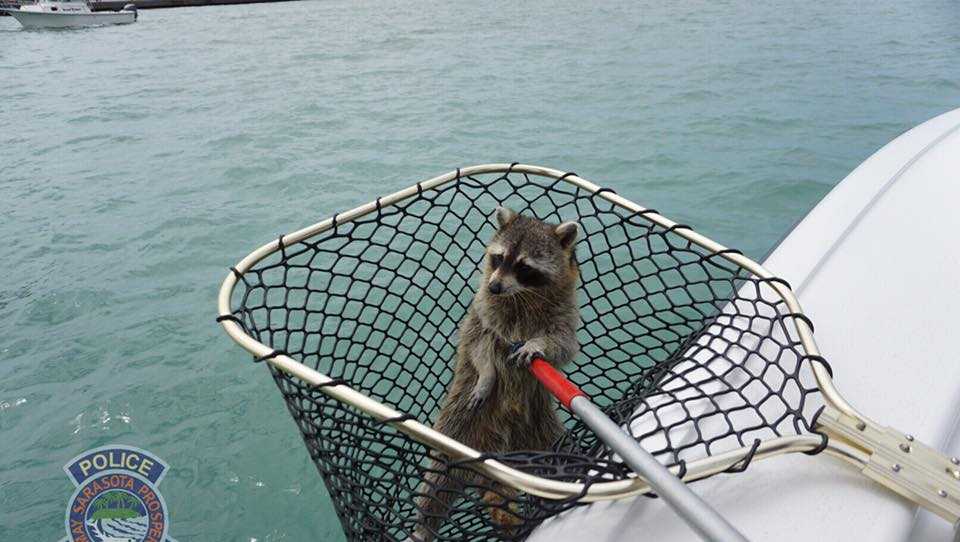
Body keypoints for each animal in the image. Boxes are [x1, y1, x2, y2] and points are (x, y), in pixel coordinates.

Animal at [411, 206, 581, 542]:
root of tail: (497, 452)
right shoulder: (482, 311)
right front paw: (487, 375)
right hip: (457, 427)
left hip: (542, 432)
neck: (523, 295)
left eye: (524, 266)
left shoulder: (563, 312)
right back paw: (423, 525)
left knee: (561, 459)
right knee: (437, 479)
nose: (494, 286)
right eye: (499, 258)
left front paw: (538, 344)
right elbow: (478, 342)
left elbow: (562, 345)